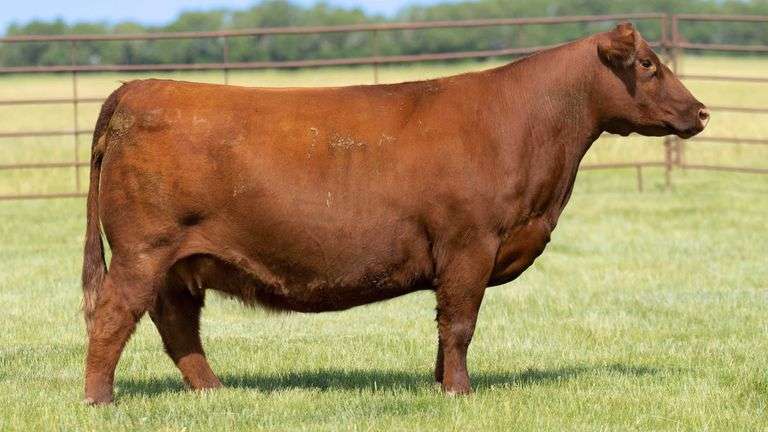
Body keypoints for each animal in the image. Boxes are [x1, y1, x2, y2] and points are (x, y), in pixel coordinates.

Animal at [81, 22, 709, 404]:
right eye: (648, 64)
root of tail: (138, 89)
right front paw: (460, 392)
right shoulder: (469, 244)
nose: (701, 111)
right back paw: (99, 399)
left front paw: (439, 385)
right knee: (114, 315)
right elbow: (459, 323)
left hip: (177, 264)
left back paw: (214, 391)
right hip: (143, 251)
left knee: (176, 325)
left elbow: (445, 325)